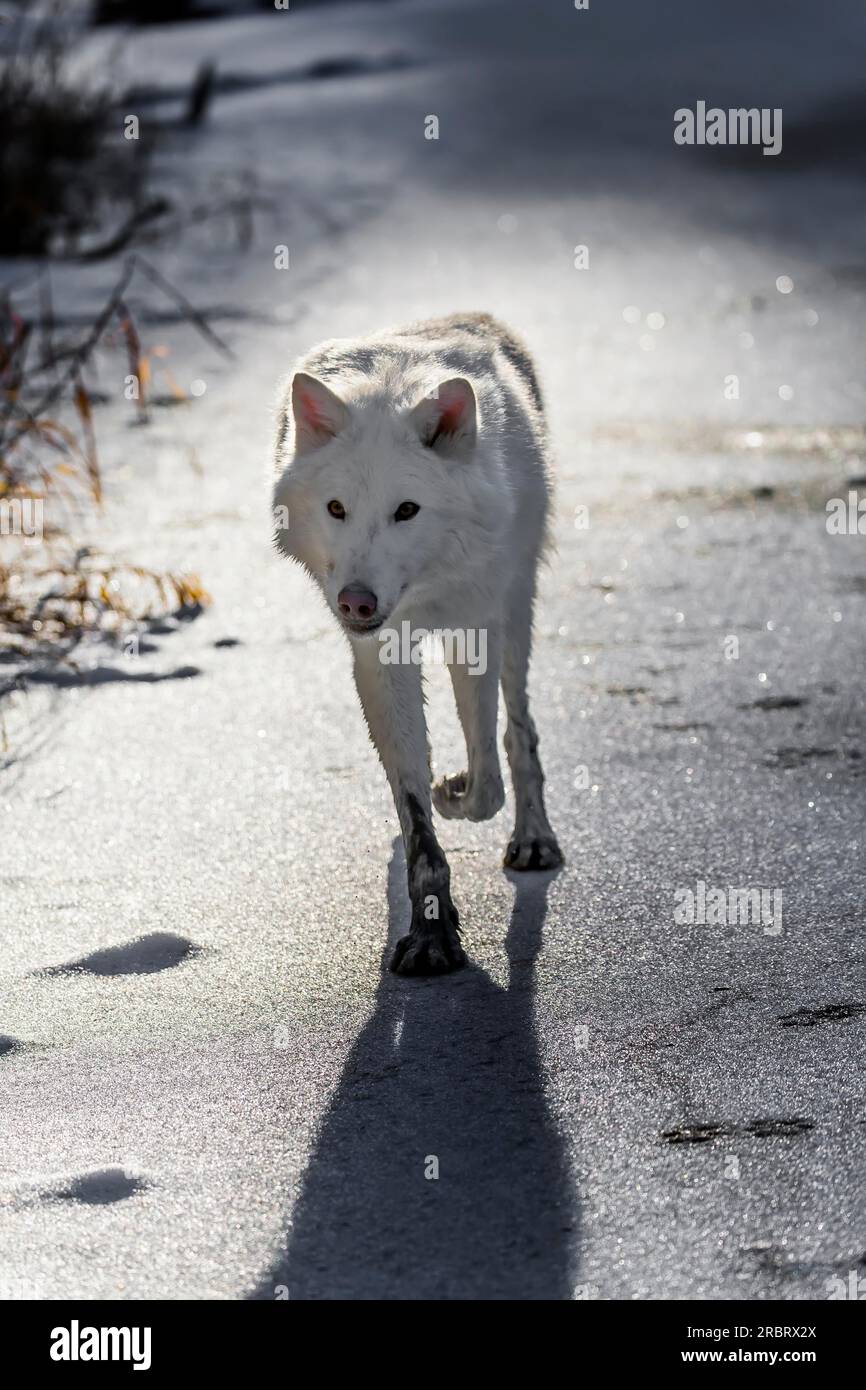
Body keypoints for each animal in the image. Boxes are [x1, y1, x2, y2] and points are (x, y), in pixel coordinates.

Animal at [273, 312, 562, 975]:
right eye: (336, 509)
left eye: (407, 510)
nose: (356, 602)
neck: (424, 591)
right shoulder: (381, 656)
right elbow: (411, 804)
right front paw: (431, 932)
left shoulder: (475, 625)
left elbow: (485, 781)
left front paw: (451, 791)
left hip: (517, 610)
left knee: (519, 733)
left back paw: (534, 840)